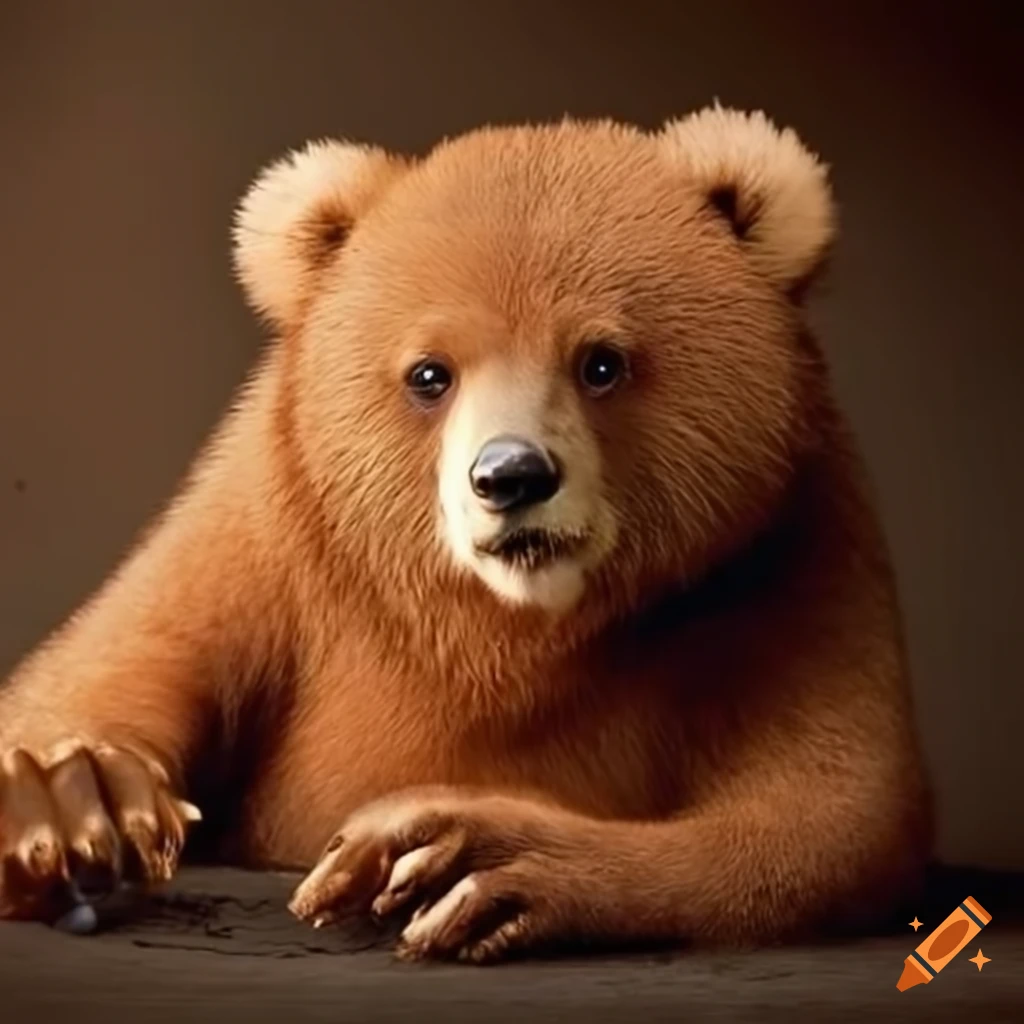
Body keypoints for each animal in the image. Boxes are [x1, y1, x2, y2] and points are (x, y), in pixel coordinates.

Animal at [0, 106, 932, 962]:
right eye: (428, 374)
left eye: (601, 361)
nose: (511, 476)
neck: (501, 631)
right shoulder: (270, 530)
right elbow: (112, 659)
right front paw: (68, 799)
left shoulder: (788, 558)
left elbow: (825, 813)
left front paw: (460, 859)